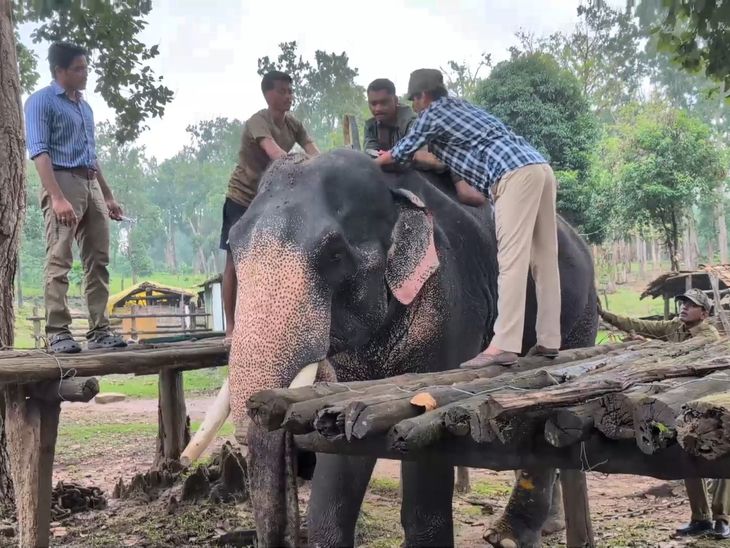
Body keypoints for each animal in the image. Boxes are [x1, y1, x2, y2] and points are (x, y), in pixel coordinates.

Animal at [225, 148, 598, 547]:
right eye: (232, 245)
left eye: (335, 254)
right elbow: (339, 434)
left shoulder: (451, 301)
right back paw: (546, 527)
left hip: (582, 315)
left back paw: (510, 536)